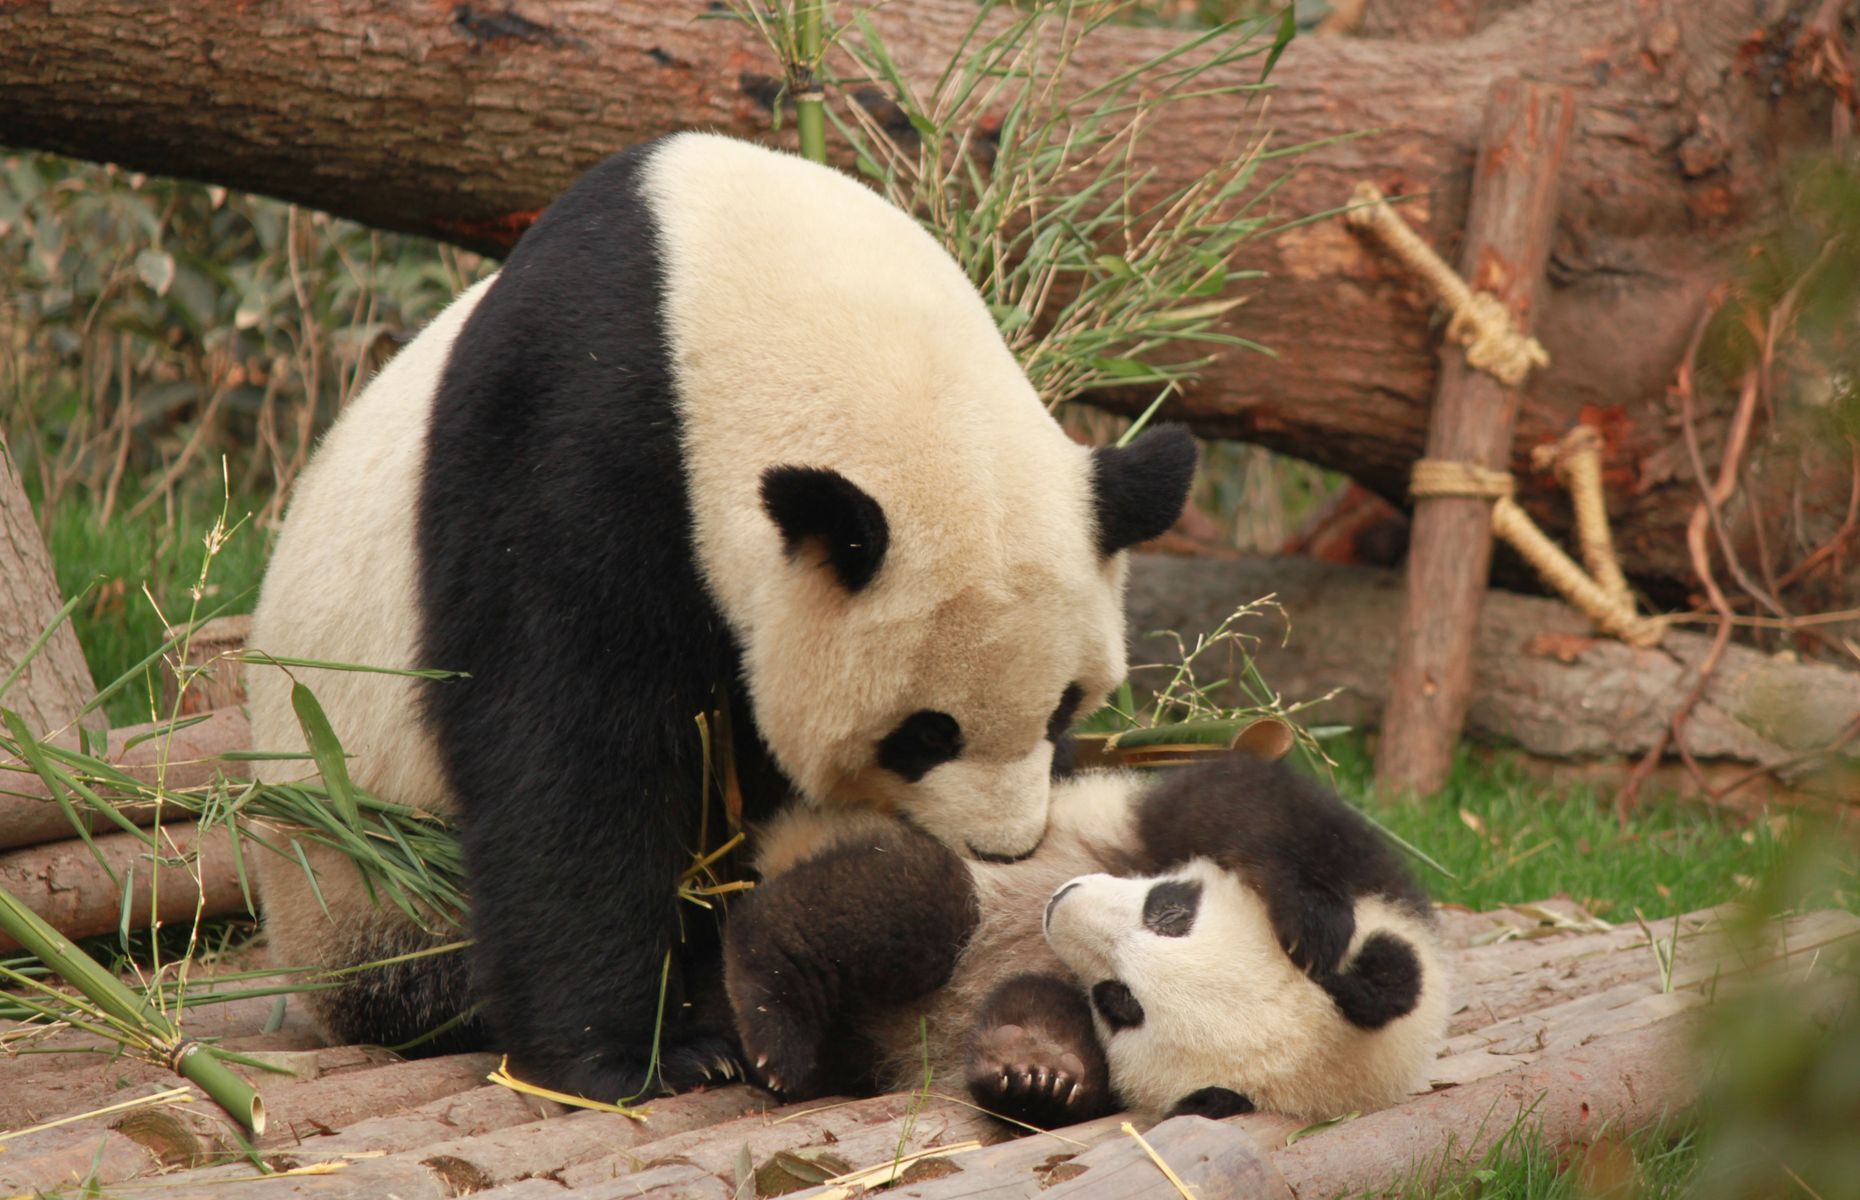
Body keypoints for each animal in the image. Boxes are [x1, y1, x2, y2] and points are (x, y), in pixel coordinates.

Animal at [243, 132, 1197, 1102]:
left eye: (1064, 707)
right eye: (926, 733)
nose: (1002, 849)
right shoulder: (571, 438)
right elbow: (567, 752)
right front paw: (631, 1057)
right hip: (361, 872)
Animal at [724, 753, 1449, 1125]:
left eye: (1120, 1001)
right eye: (1171, 910)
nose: (1061, 904)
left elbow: (1045, 1020)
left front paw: (1036, 1071)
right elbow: (1245, 801)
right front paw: (1310, 918)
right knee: (918, 905)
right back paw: (771, 1019)